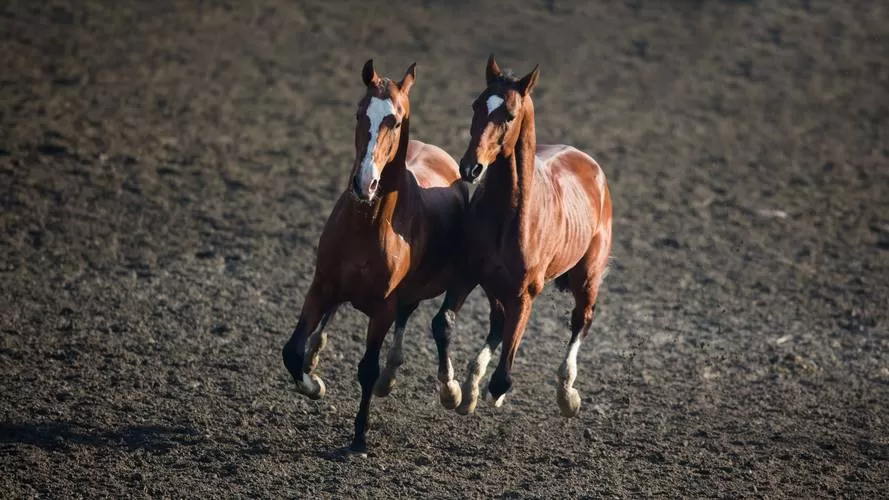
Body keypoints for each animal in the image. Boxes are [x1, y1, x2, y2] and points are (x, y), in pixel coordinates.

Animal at [280, 59, 468, 454]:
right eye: (358, 113)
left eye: (394, 121)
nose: (364, 184)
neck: (368, 224)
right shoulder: (321, 286)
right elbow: (292, 350)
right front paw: (312, 383)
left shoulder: (383, 307)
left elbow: (367, 368)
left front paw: (359, 436)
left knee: (417, 321)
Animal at [430, 55, 612, 418]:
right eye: (476, 105)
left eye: (510, 115)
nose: (470, 167)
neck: (508, 214)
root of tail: (590, 165)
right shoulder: (466, 274)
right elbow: (443, 324)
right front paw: (453, 392)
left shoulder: (524, 294)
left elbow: (503, 375)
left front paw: (485, 392)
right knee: (498, 323)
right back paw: (470, 387)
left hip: (587, 277)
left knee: (580, 320)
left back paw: (567, 394)